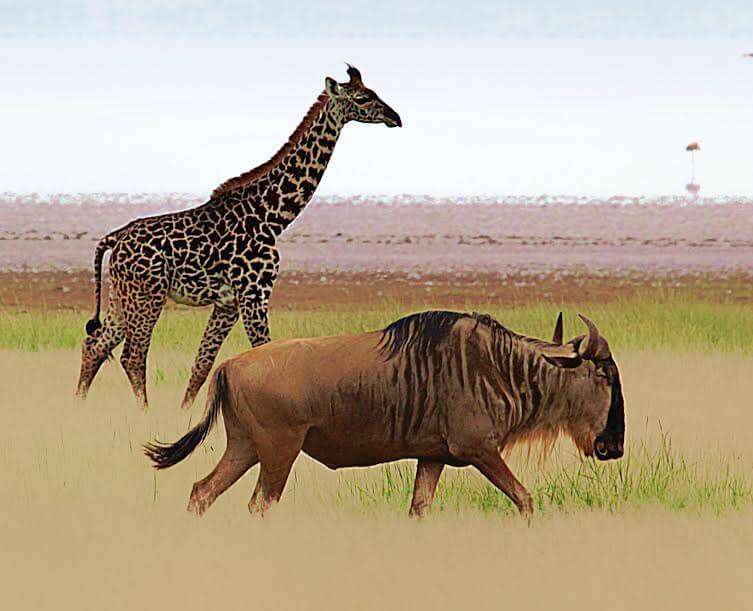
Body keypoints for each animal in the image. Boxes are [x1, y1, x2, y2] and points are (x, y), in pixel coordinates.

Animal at [76, 65, 402, 410]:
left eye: (374, 92)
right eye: (362, 98)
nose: (395, 117)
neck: (272, 216)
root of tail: (115, 238)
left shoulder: (228, 303)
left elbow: (201, 366)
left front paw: (186, 414)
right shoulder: (254, 292)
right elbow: (265, 354)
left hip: (121, 297)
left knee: (95, 345)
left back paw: (77, 406)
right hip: (147, 295)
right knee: (132, 356)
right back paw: (143, 413)